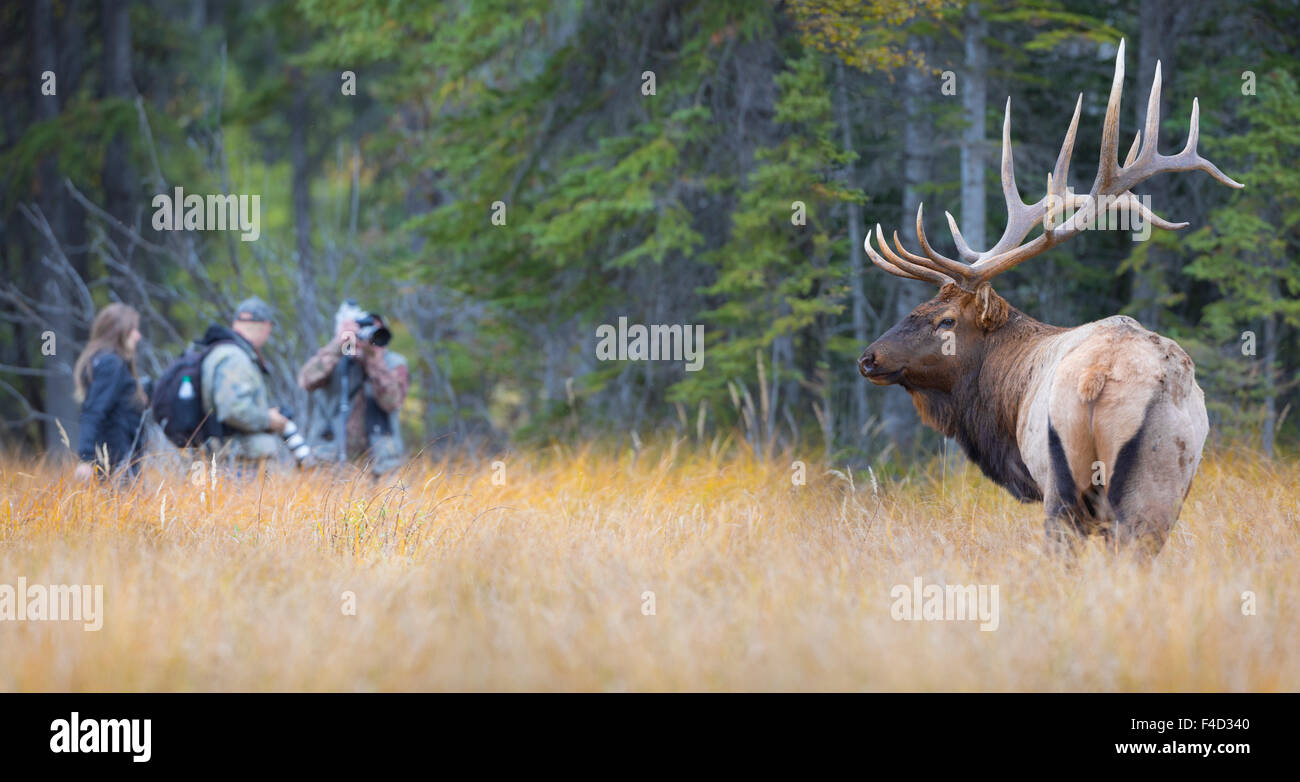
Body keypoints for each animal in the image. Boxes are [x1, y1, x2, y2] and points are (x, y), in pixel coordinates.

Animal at [856, 40, 1242, 557]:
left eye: (946, 321)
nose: (869, 357)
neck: (1004, 401)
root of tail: (1100, 379)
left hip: (1076, 484)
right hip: (1146, 484)